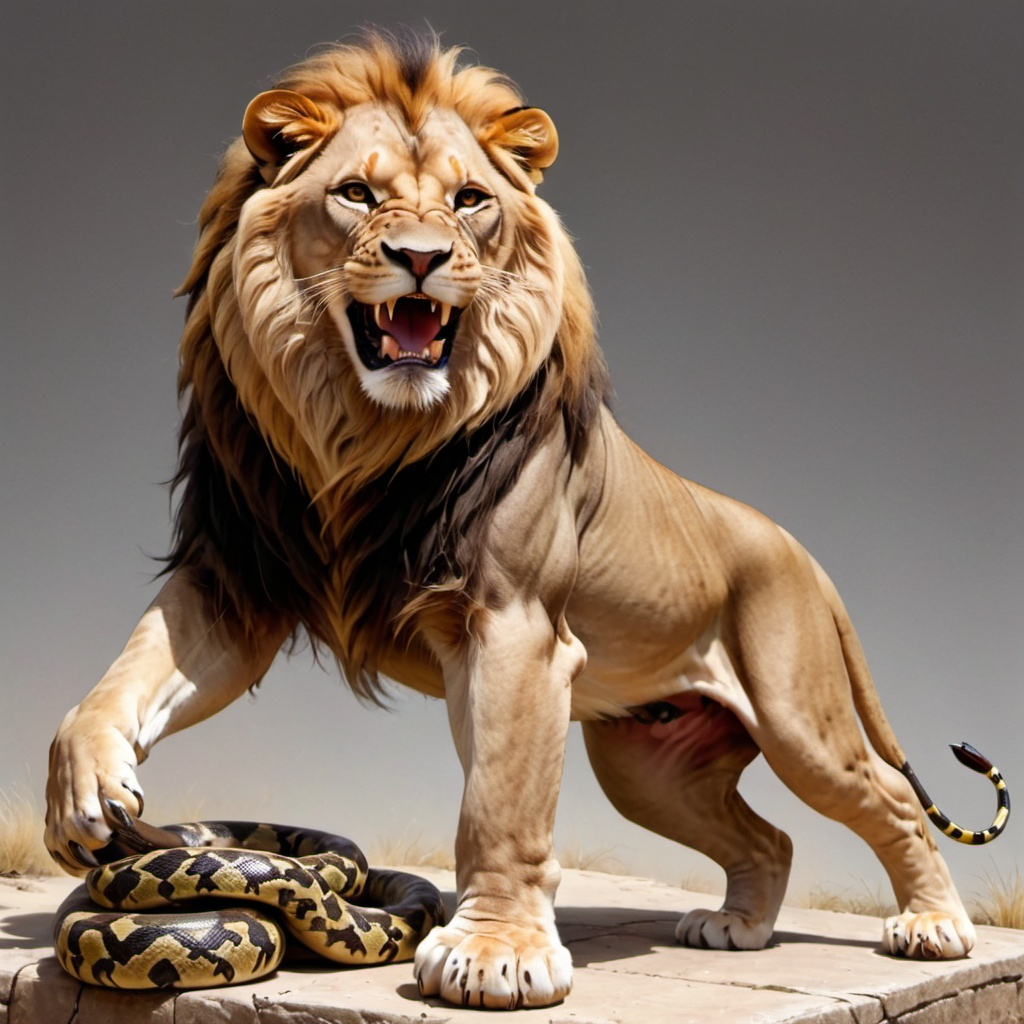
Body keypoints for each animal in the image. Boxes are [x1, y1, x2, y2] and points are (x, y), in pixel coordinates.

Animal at [45, 31, 1008, 1009]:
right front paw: (85, 797)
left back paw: (934, 927)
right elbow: (116, 685)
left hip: (798, 721)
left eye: (470, 201)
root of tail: (803, 553)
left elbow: (498, 804)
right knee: (768, 837)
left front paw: (494, 952)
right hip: (649, 771)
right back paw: (737, 926)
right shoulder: (234, 584)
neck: (361, 439)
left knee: (890, 798)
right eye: (357, 193)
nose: (421, 258)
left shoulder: (515, 624)